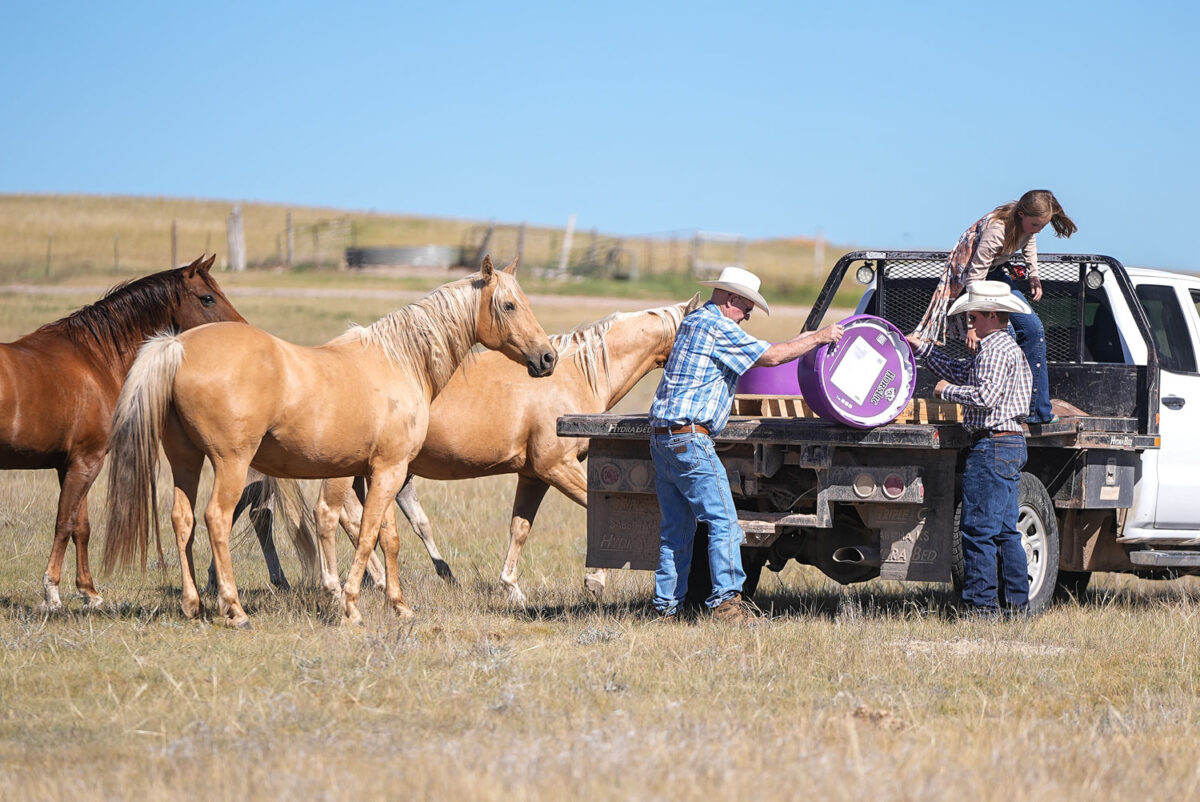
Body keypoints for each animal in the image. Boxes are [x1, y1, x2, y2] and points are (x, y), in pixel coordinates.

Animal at [0, 254, 245, 610]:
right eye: (207, 298)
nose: (240, 331)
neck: (93, 359)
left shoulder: (70, 464)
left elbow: (80, 526)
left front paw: (89, 591)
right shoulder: (86, 462)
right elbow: (64, 523)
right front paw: (51, 591)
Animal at [102, 256, 556, 628]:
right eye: (510, 305)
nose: (547, 358)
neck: (398, 362)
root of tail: (177, 345)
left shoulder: (375, 472)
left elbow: (388, 537)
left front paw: (399, 605)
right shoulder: (389, 470)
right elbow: (369, 532)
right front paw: (350, 605)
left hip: (186, 460)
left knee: (183, 520)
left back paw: (193, 604)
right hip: (231, 463)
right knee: (216, 518)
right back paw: (234, 609)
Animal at [304, 293, 702, 603]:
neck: (578, 373)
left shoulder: (533, 476)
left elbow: (519, 528)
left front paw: (511, 586)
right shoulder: (557, 468)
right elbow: (593, 512)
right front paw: (595, 580)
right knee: (344, 515)